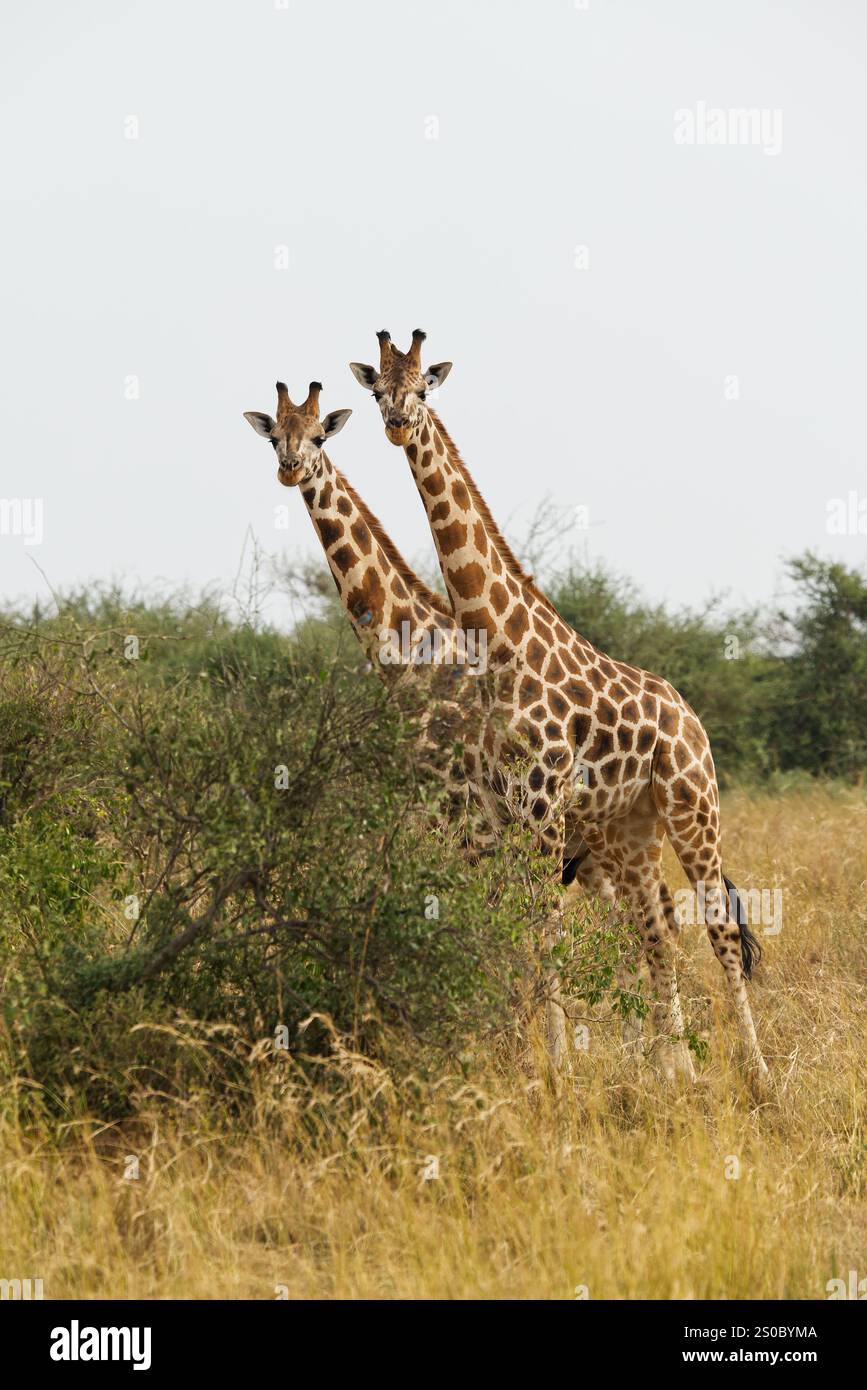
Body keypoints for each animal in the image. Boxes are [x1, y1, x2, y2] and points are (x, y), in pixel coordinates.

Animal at [349, 331, 769, 1081]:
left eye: (423, 388)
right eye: (378, 391)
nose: (397, 423)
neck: (499, 644)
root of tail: (691, 717)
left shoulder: (541, 810)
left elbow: (543, 931)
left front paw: (552, 1069)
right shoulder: (504, 814)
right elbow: (516, 930)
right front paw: (528, 1059)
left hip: (694, 808)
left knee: (717, 926)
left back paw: (756, 1073)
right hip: (631, 825)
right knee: (657, 929)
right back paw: (674, 1070)